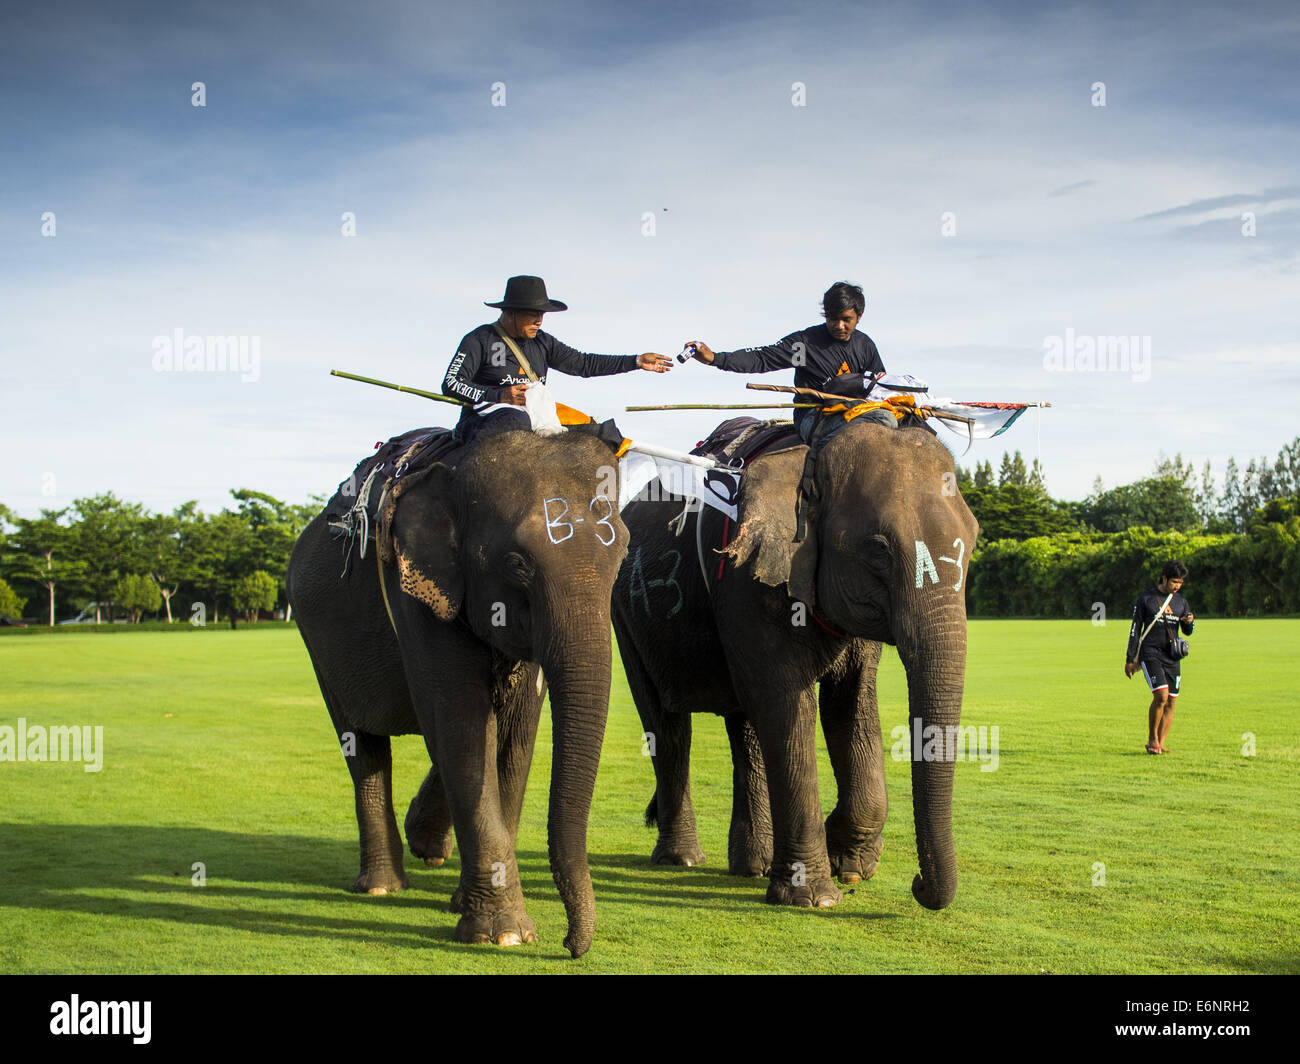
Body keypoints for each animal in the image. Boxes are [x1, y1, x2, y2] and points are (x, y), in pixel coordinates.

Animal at [287, 426, 629, 957]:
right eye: (517, 563)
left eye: (623, 557)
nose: (572, 946)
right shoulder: (411, 588)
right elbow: (461, 721)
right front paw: (504, 935)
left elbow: (513, 731)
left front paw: (464, 903)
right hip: (317, 640)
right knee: (362, 745)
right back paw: (382, 885)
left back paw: (426, 845)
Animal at [611, 417, 978, 911]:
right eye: (878, 548)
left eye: (973, 541)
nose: (919, 884)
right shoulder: (748, 580)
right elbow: (787, 706)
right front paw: (816, 897)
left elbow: (851, 705)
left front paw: (853, 864)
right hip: (624, 614)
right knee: (666, 725)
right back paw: (682, 859)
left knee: (744, 726)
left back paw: (753, 866)